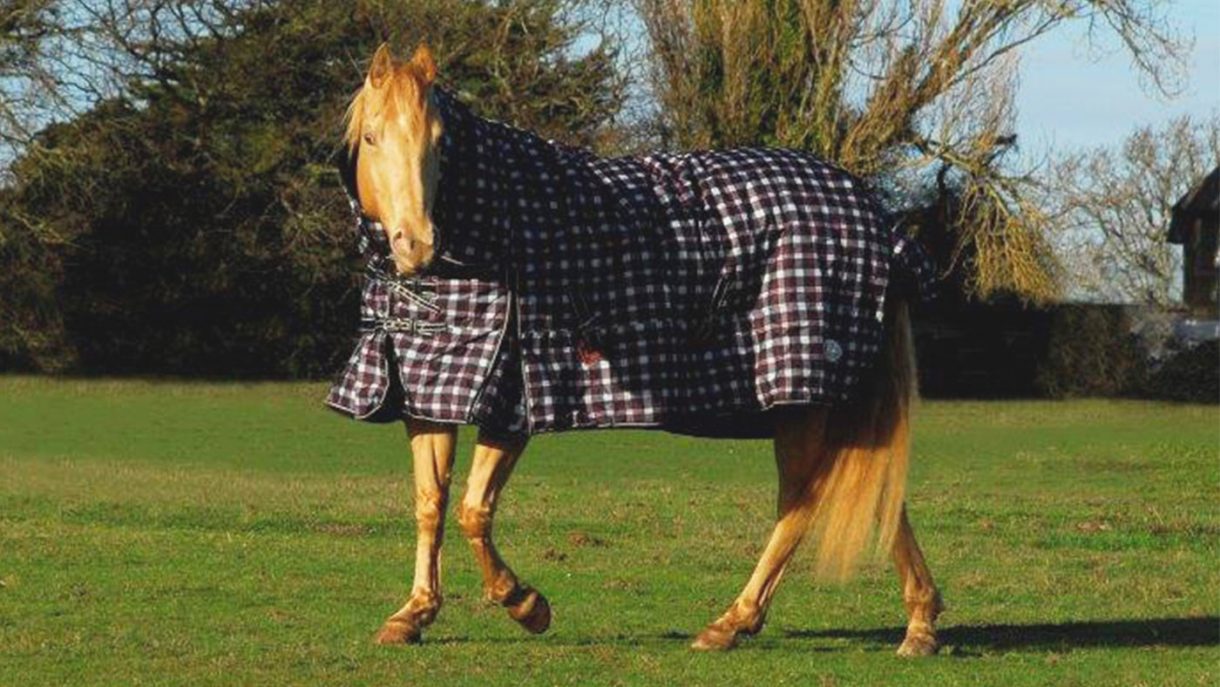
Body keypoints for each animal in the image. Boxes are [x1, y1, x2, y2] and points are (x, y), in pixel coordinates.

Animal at [328, 43, 943, 655]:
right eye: (372, 138)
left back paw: (732, 622)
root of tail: (872, 216)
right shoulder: (426, 388)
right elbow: (430, 504)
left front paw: (526, 604)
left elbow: (474, 511)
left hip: (802, 401)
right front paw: (413, 613)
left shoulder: (512, 396)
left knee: (804, 502)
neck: (493, 231)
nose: (416, 245)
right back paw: (920, 623)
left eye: (439, 142)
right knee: (871, 493)